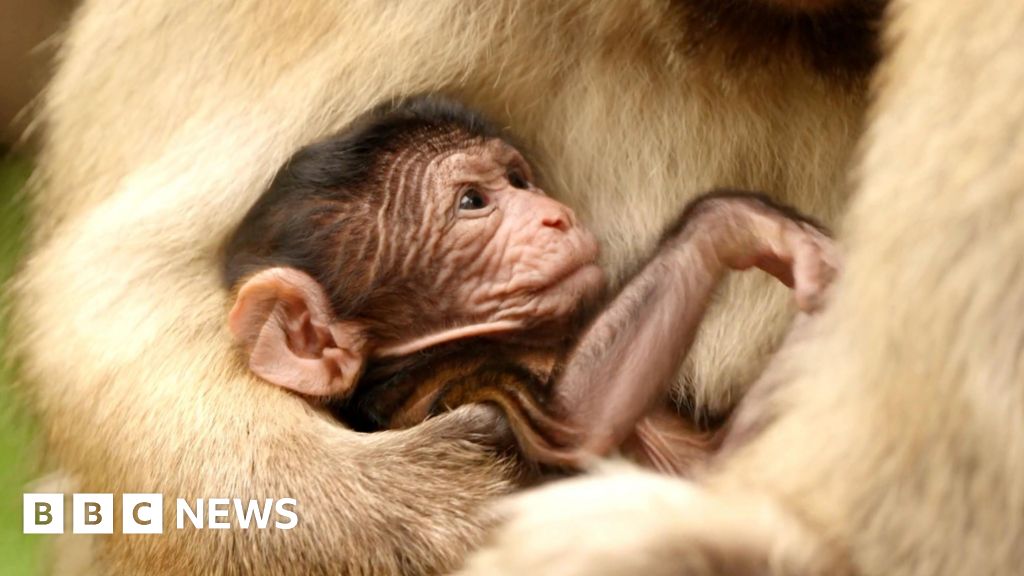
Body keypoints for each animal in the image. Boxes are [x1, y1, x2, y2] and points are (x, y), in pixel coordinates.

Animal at [222, 95, 840, 474]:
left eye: (518, 180)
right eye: (473, 201)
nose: (555, 215)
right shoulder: (444, 384)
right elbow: (578, 430)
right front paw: (733, 223)